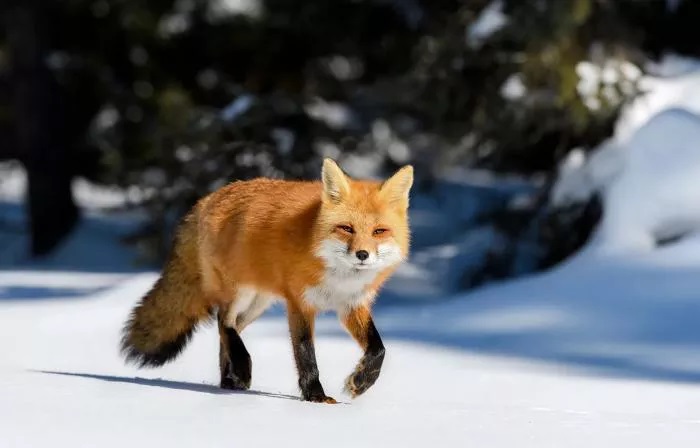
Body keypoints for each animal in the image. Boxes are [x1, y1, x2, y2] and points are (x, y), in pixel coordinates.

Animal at [120, 158, 413, 403]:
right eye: (346, 229)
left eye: (379, 231)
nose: (362, 254)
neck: (338, 277)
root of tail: (208, 198)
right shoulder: (299, 303)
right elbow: (306, 354)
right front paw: (316, 397)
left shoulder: (352, 305)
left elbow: (378, 349)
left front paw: (360, 381)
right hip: (239, 292)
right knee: (223, 321)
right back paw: (241, 368)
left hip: (257, 304)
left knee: (227, 331)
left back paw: (229, 381)